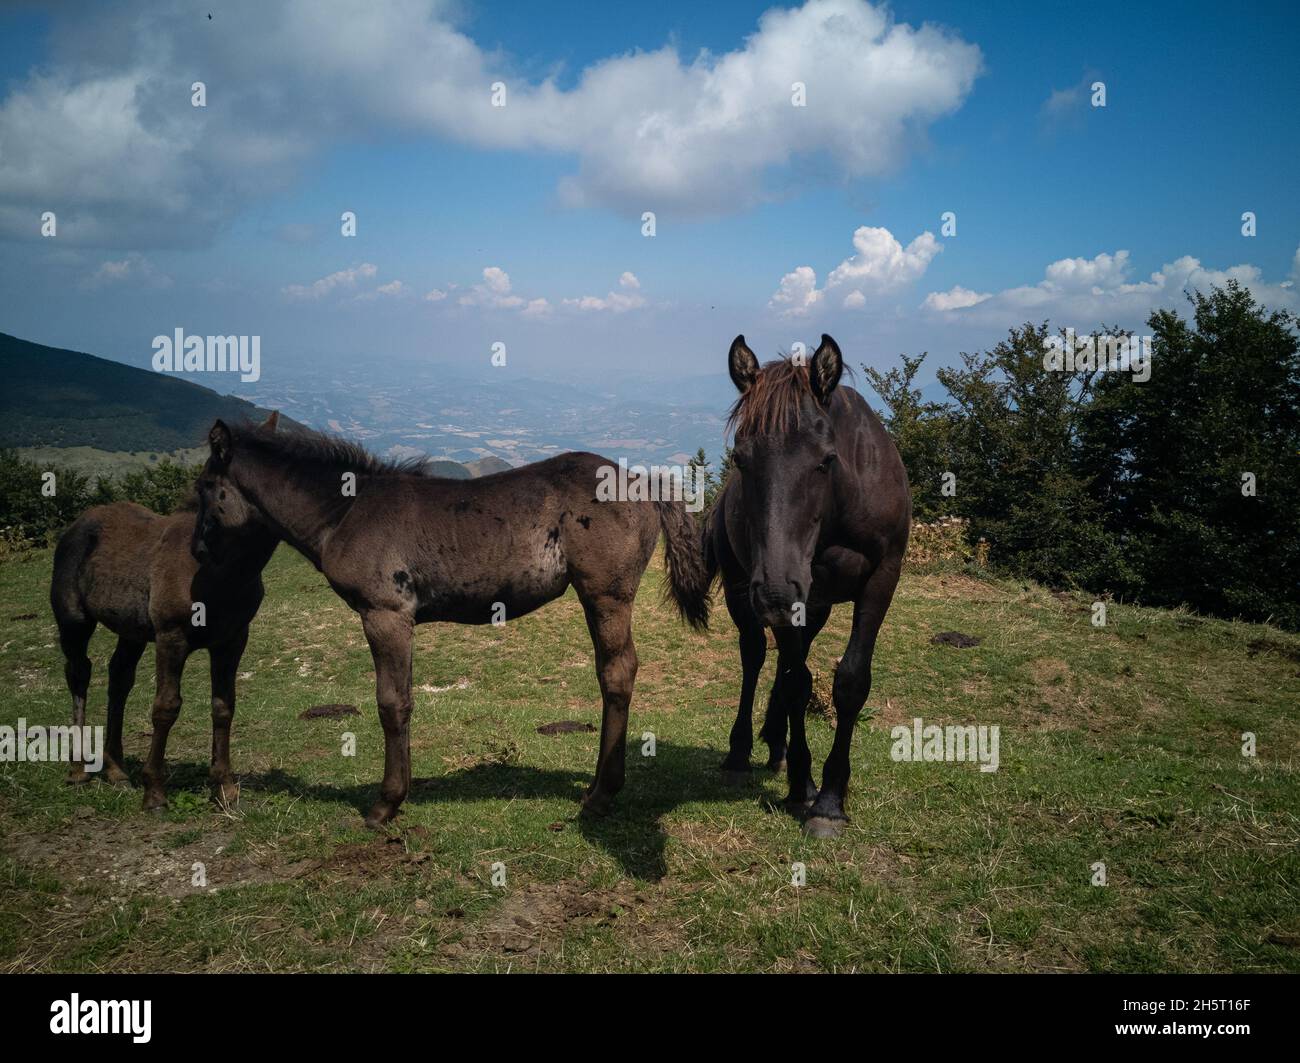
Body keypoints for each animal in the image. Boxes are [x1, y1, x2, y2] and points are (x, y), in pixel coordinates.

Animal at [49, 413, 282, 810]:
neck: (217, 572)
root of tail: (78, 524)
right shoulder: (171, 637)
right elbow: (166, 707)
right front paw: (155, 791)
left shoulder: (233, 639)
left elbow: (224, 706)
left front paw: (223, 787)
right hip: (74, 622)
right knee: (79, 673)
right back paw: (79, 769)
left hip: (131, 630)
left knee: (119, 678)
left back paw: (116, 770)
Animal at [191, 418, 710, 828]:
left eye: (203, 490)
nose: (197, 549)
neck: (345, 511)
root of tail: (646, 483)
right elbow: (401, 701)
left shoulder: (385, 614)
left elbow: (391, 704)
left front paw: (386, 804)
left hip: (606, 596)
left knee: (617, 674)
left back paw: (601, 796)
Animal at [704, 334, 910, 837]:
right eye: (740, 459)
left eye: (825, 460)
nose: (776, 593)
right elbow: (798, 683)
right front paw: (803, 786)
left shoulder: (882, 579)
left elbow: (851, 681)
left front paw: (830, 799)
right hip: (747, 593)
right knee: (756, 657)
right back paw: (742, 754)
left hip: (811, 606)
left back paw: (776, 746)